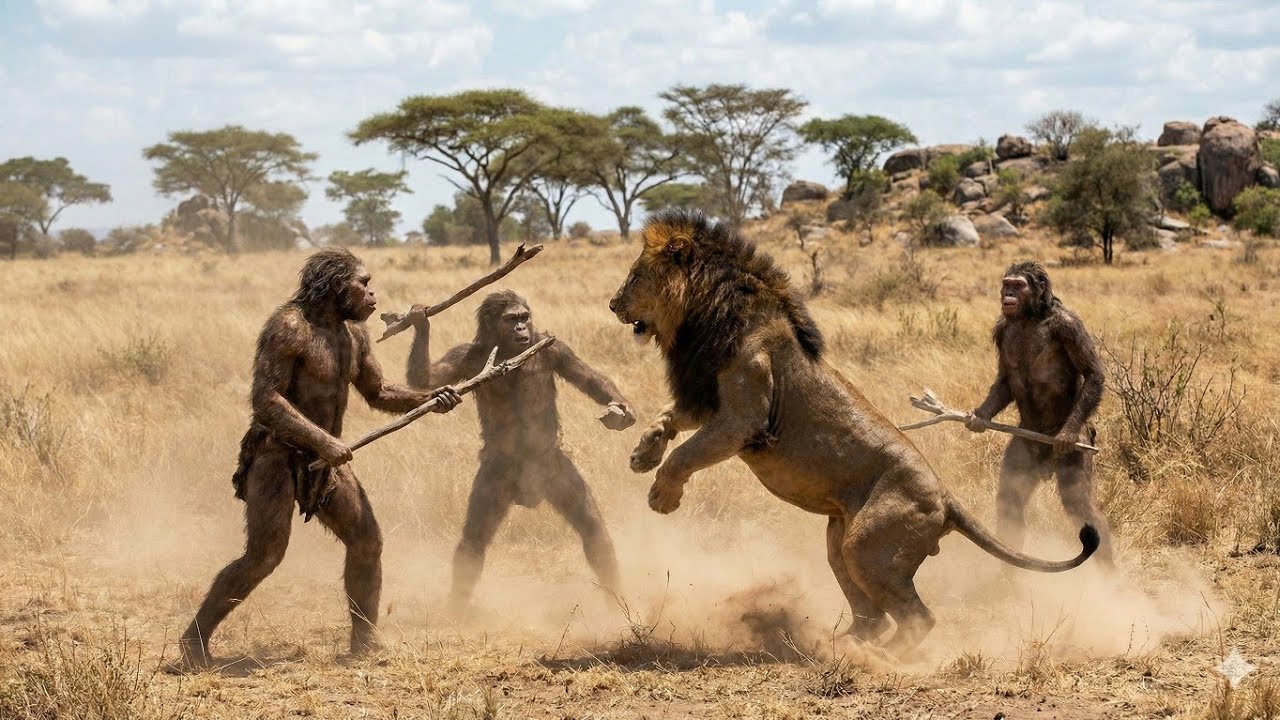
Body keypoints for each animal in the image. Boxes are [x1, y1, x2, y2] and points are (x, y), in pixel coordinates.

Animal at [608, 209, 1098, 657]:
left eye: (635, 275)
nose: (613, 304)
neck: (705, 316)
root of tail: (946, 497)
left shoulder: (742, 417)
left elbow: (687, 453)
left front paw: (662, 496)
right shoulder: (706, 397)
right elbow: (667, 419)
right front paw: (642, 455)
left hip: (868, 544)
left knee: (919, 618)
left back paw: (876, 659)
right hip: (842, 539)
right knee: (873, 614)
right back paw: (836, 645)